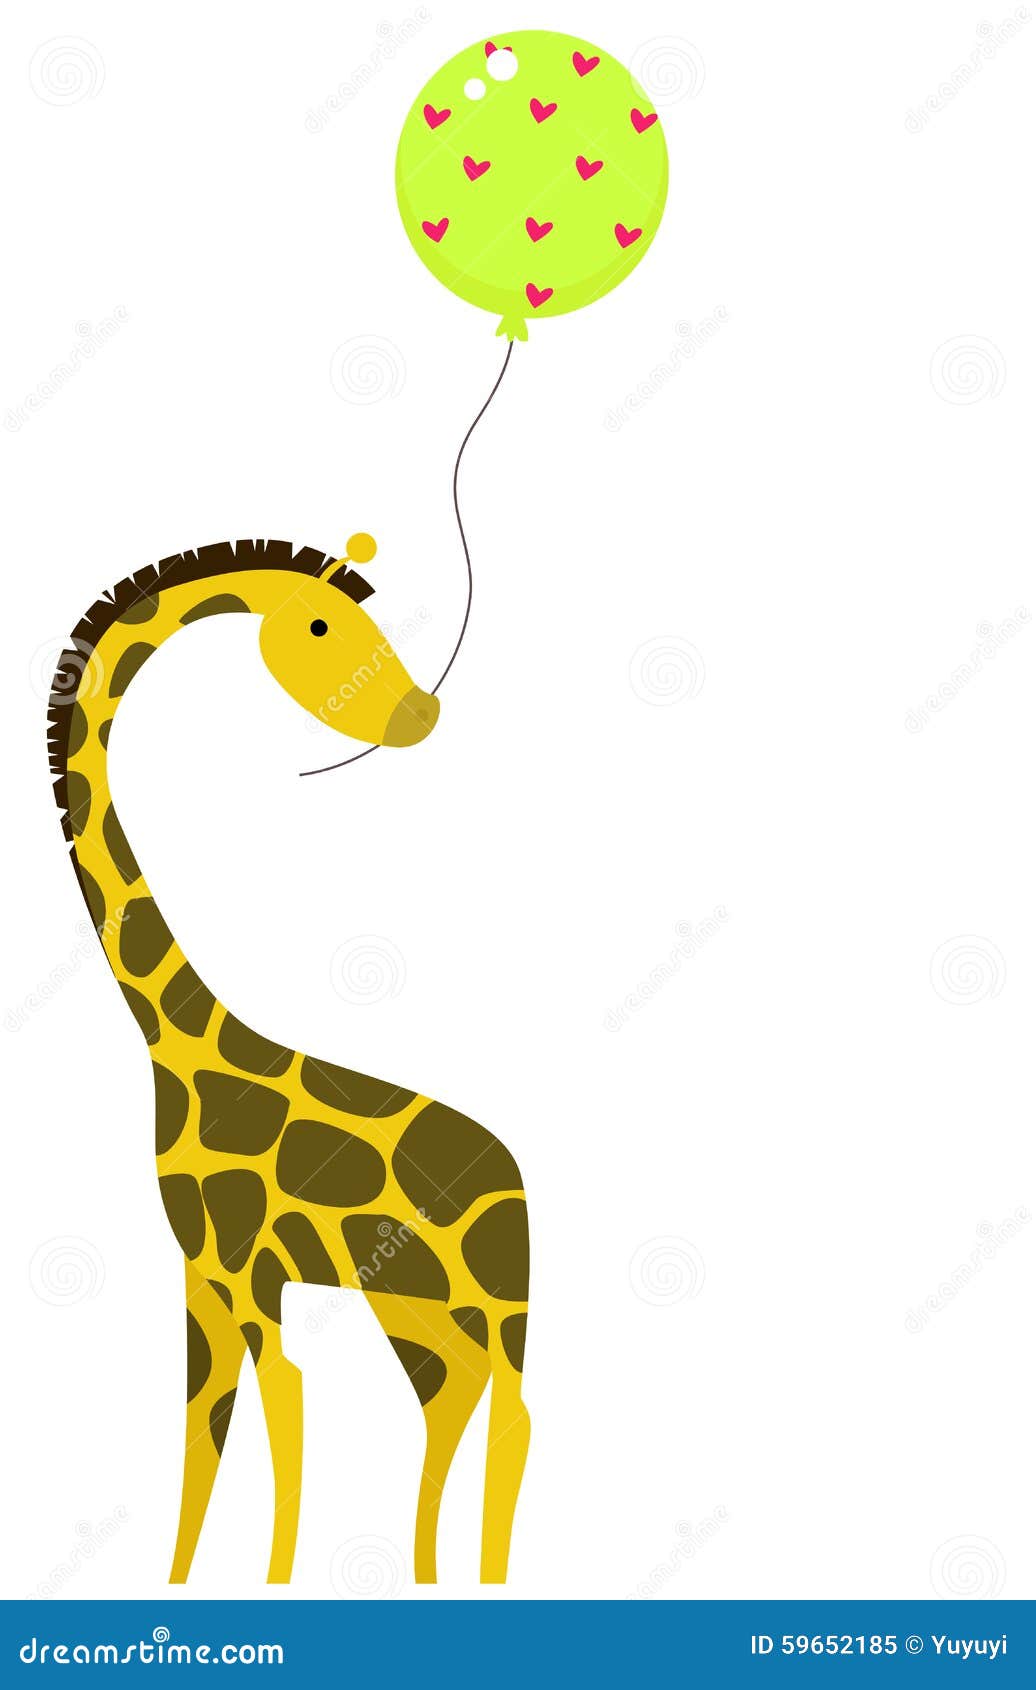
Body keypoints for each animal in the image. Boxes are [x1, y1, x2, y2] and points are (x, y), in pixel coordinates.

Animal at [47, 535, 530, 1586]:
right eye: (318, 625)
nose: (419, 714)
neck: (175, 1041)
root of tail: (515, 1176)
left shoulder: (254, 1277)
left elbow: (279, 1424)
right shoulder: (206, 1277)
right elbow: (205, 1435)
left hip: (495, 1299)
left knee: (511, 1412)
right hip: (413, 1303)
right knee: (449, 1394)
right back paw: (430, 1579)